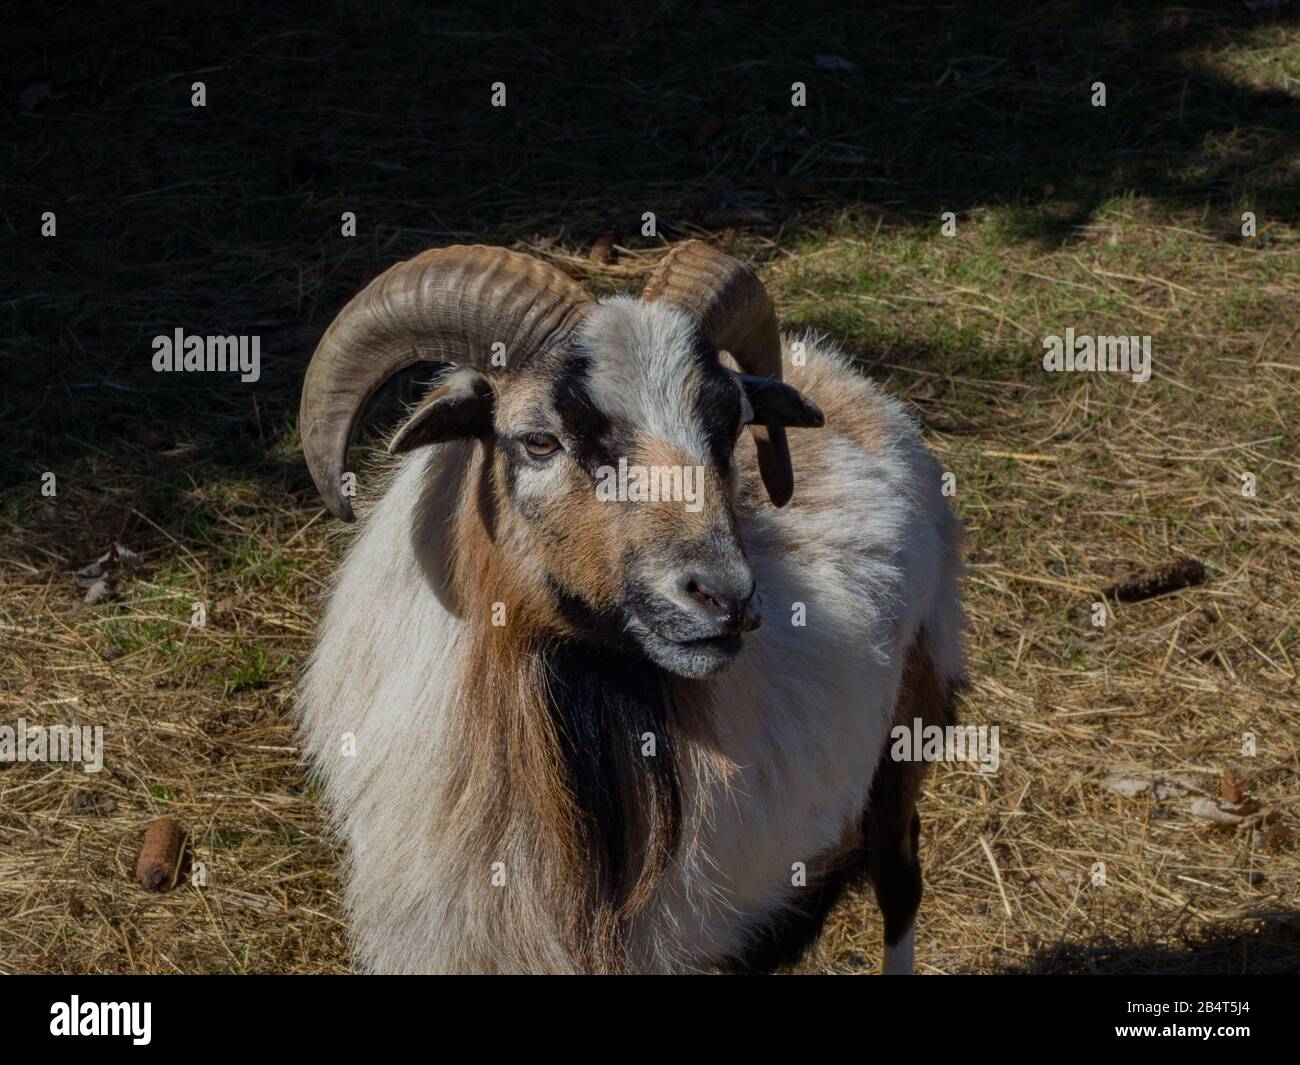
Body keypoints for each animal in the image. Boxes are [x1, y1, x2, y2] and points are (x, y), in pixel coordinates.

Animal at [296, 241, 965, 974]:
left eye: (729, 430)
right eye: (538, 440)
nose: (727, 597)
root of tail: (844, 375)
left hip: (908, 729)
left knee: (901, 875)